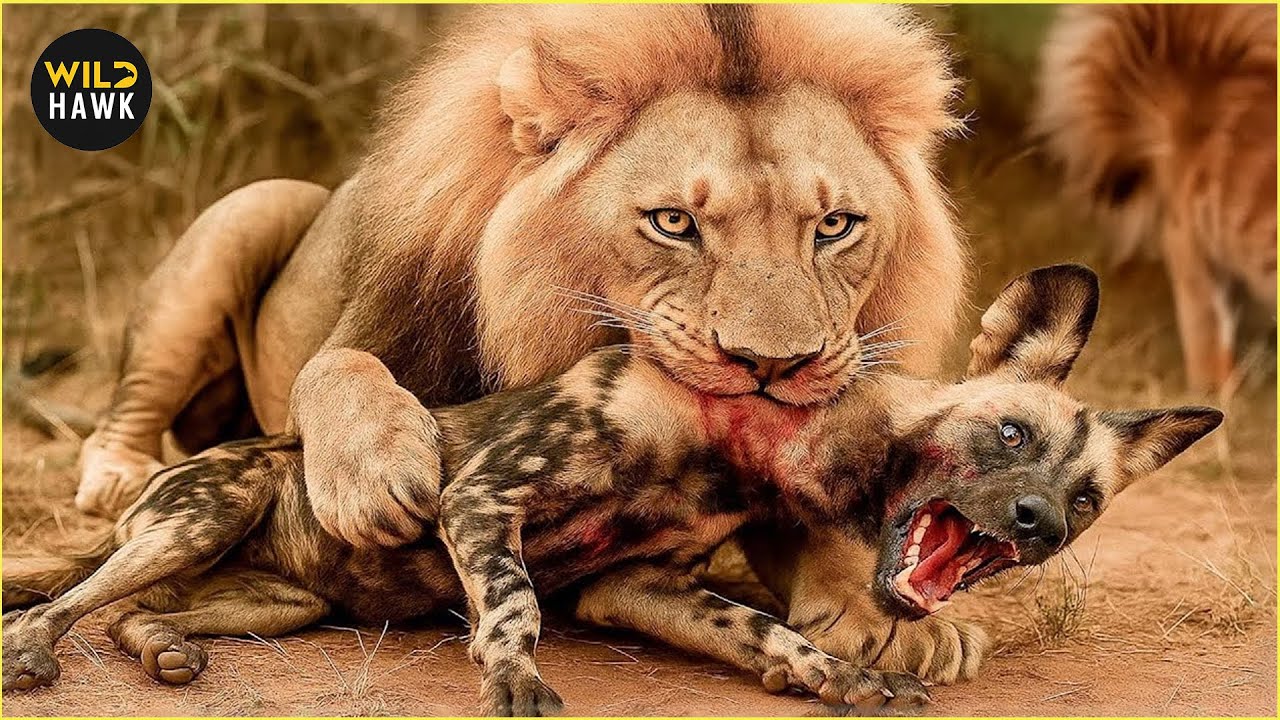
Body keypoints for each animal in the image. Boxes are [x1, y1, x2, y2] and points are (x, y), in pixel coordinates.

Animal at [74, 4, 977, 684]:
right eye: (673, 222)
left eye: (835, 226)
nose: (772, 366)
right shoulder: (369, 337)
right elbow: (333, 364)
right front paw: (376, 479)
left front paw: (893, 620)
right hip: (253, 206)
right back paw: (112, 478)